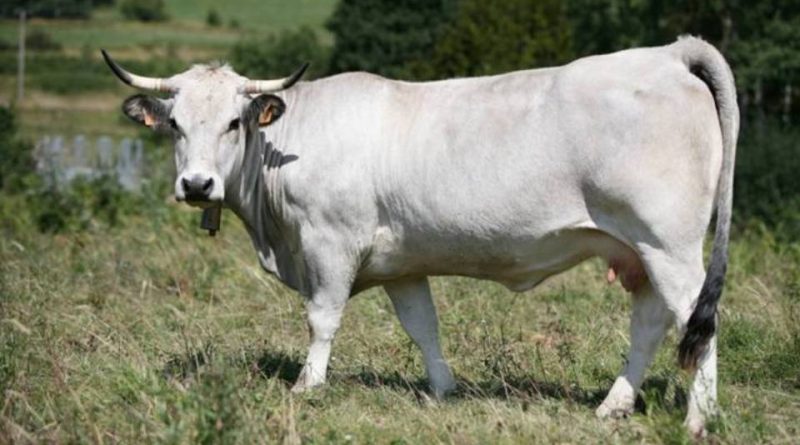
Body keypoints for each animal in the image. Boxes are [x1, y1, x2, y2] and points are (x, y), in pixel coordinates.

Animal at [102, 36, 738, 436]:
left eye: (234, 123)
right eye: (174, 124)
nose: (197, 184)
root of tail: (669, 53)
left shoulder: (330, 244)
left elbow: (322, 319)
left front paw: (308, 387)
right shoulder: (401, 264)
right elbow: (423, 326)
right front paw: (442, 389)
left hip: (669, 246)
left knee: (697, 322)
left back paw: (698, 418)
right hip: (638, 251)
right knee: (651, 324)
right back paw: (613, 406)